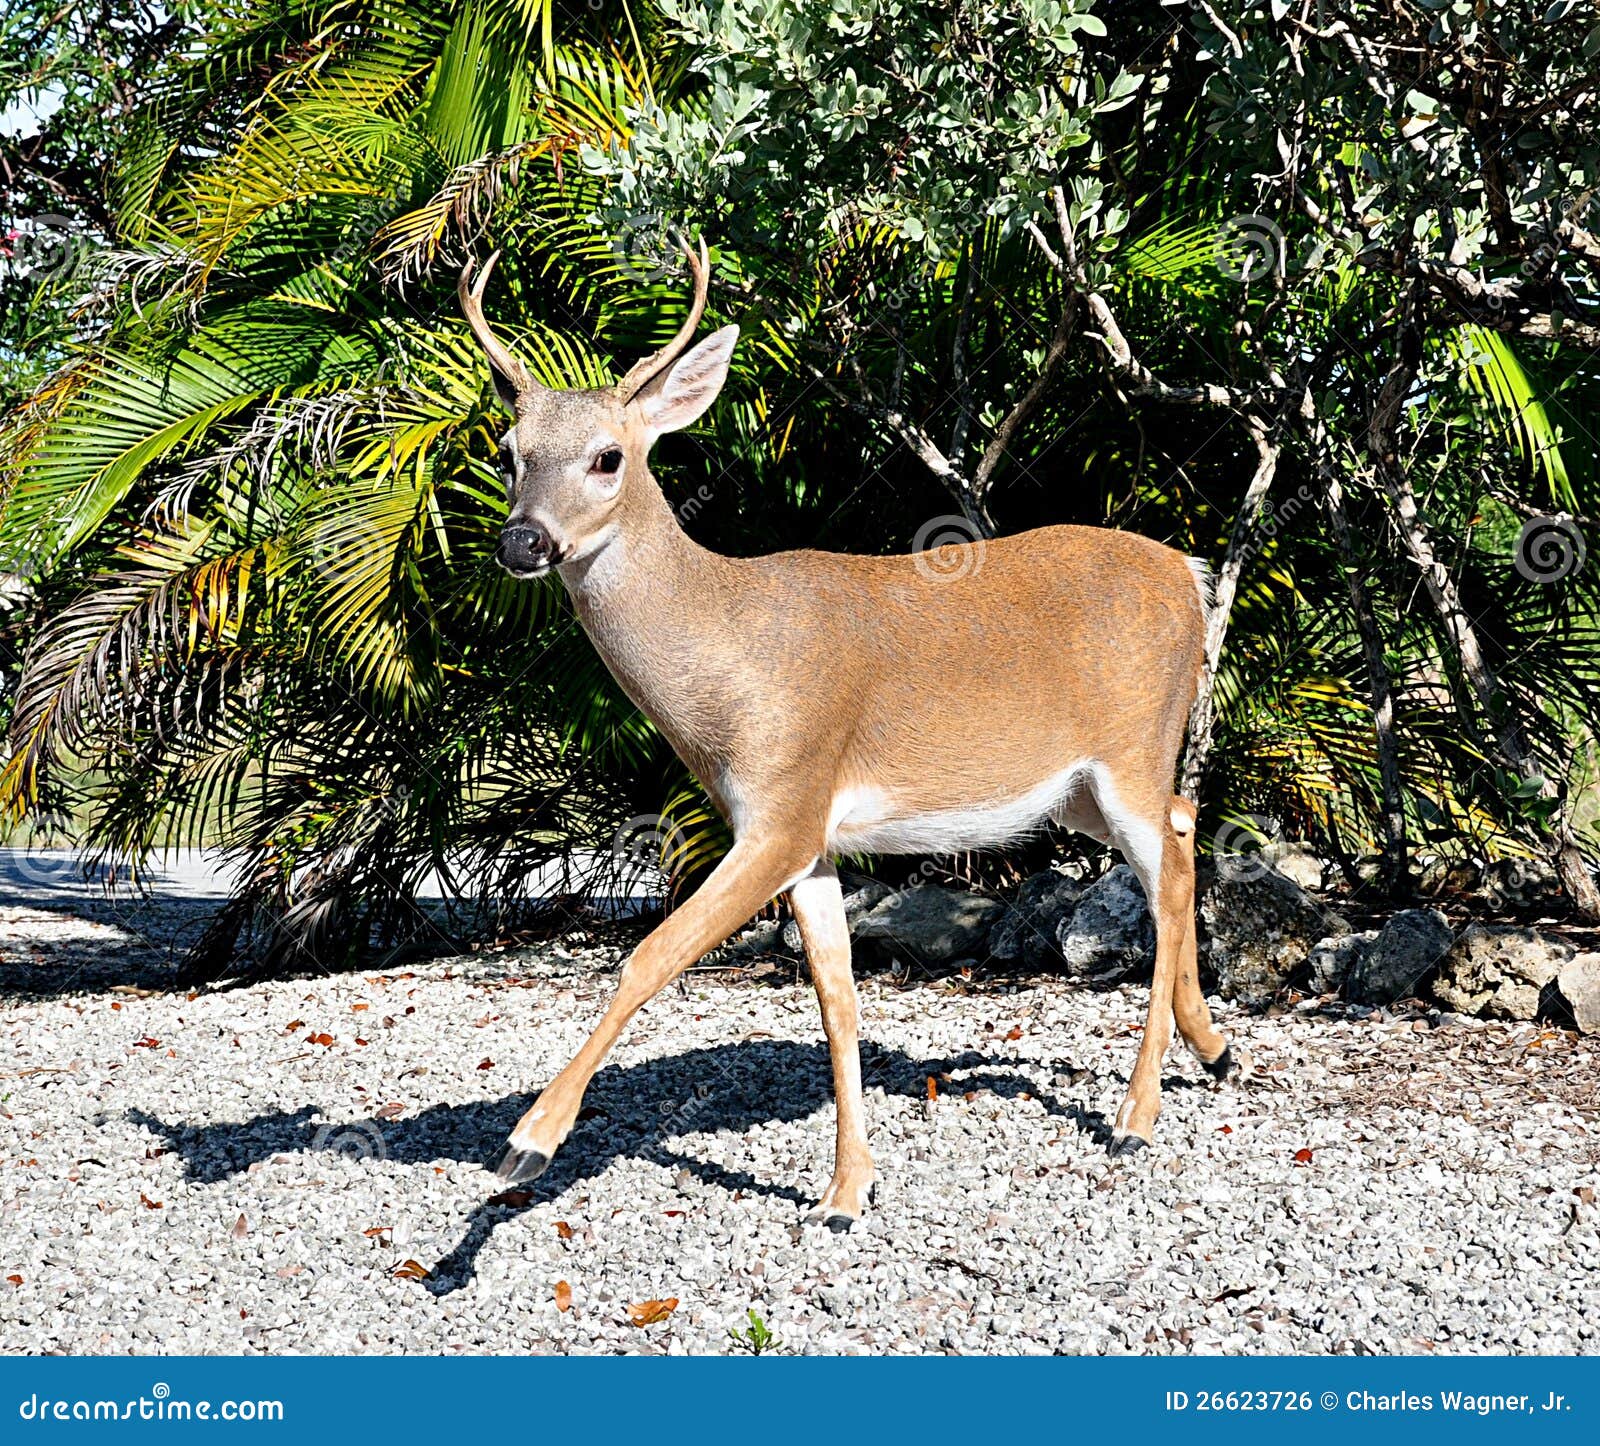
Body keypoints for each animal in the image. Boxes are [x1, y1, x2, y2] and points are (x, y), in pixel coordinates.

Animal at [458, 236, 1233, 1230]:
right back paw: (1215, 1049)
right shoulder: (808, 835)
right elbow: (837, 996)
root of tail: (1191, 573)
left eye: (607, 457)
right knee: (1183, 828)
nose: (523, 542)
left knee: (1167, 873)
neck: (727, 654)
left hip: (1132, 744)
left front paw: (529, 1141)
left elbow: (649, 956)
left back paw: (1138, 1114)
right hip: (1076, 789)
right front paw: (846, 1188)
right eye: (509, 452)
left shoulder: (784, 802)